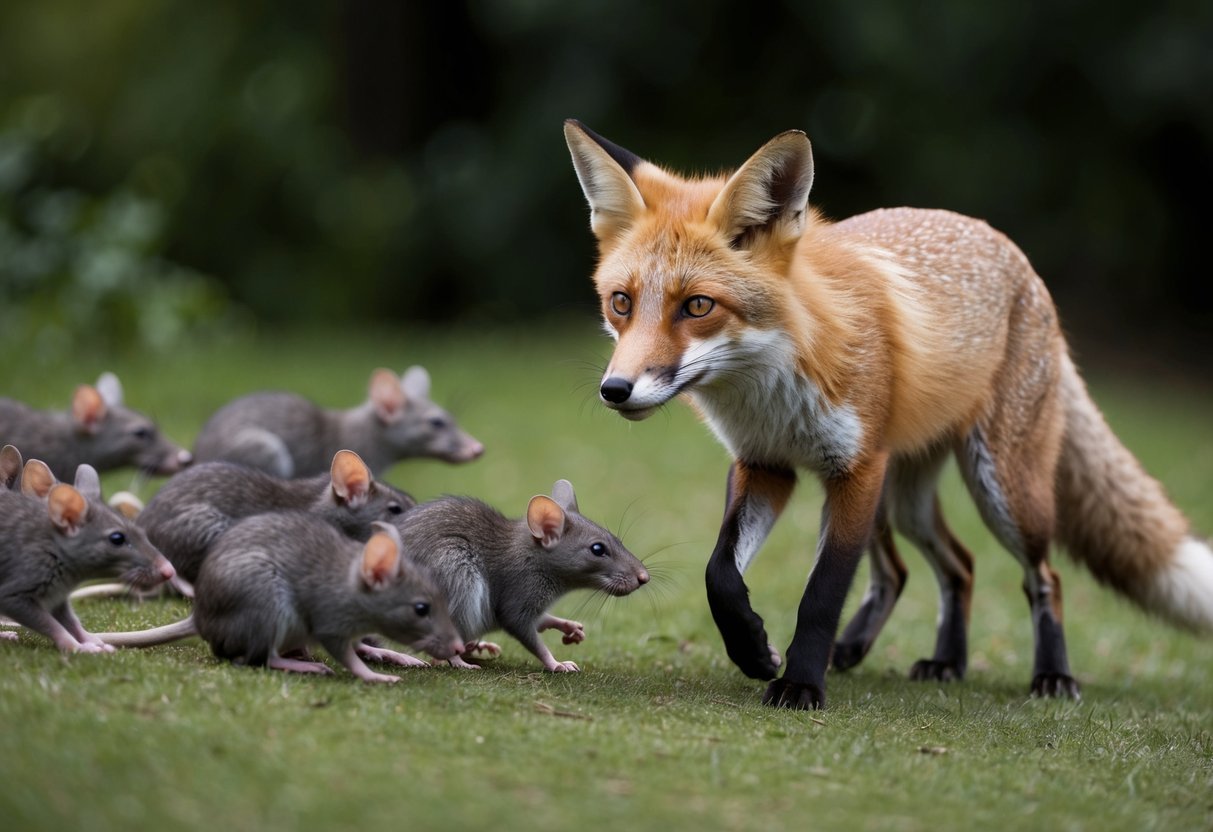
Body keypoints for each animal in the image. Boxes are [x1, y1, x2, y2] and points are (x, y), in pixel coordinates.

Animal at [563, 119, 1213, 710]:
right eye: (621, 303)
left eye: (697, 306)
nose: (615, 389)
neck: (772, 386)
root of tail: (1015, 255)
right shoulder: (766, 466)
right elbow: (719, 574)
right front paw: (754, 650)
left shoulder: (855, 468)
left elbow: (822, 593)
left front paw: (799, 685)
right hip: (899, 499)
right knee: (948, 567)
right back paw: (938, 660)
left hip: (997, 489)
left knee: (1041, 577)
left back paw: (1051, 676)